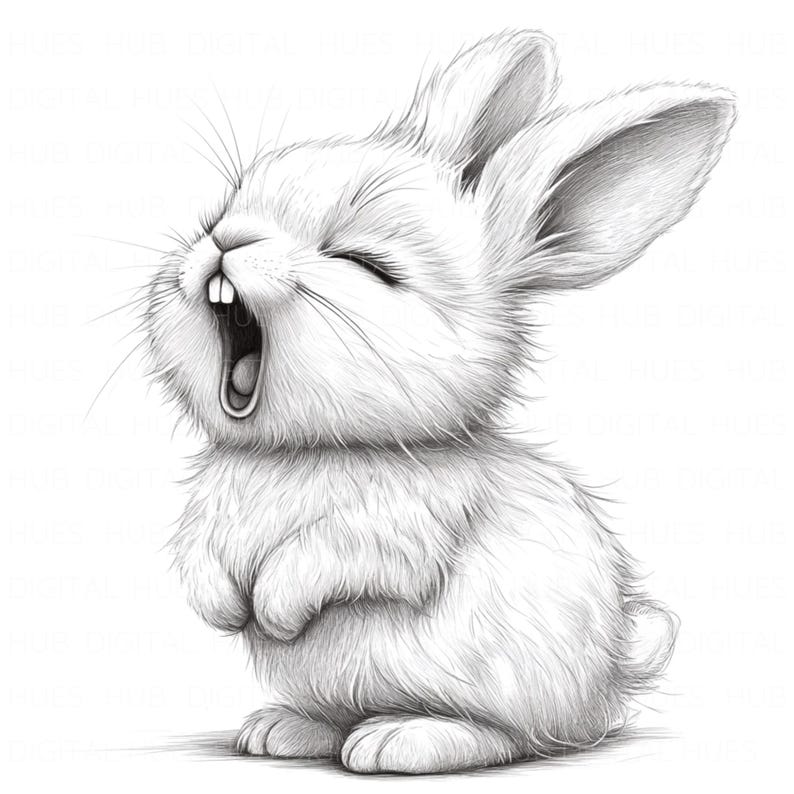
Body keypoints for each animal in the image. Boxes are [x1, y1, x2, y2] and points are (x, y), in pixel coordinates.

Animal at [145, 31, 735, 774]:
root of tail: (607, 686)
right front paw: (224, 609)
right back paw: (280, 731)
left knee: (509, 738)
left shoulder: (398, 532)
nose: (226, 241)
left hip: (504, 683)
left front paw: (273, 611)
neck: (308, 451)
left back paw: (397, 740)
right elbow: (200, 556)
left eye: (367, 265)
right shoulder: (206, 523)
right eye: (216, 218)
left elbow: (326, 559)